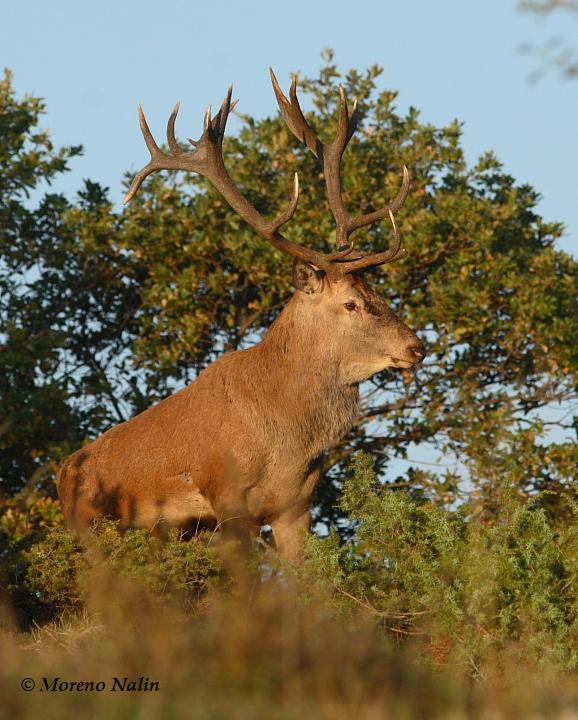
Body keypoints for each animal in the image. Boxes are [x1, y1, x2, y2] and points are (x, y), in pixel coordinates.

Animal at [57, 70, 426, 563]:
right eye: (351, 302)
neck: (285, 439)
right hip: (90, 532)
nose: (416, 346)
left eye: (377, 291)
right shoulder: (228, 500)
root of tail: (63, 473)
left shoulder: (296, 507)